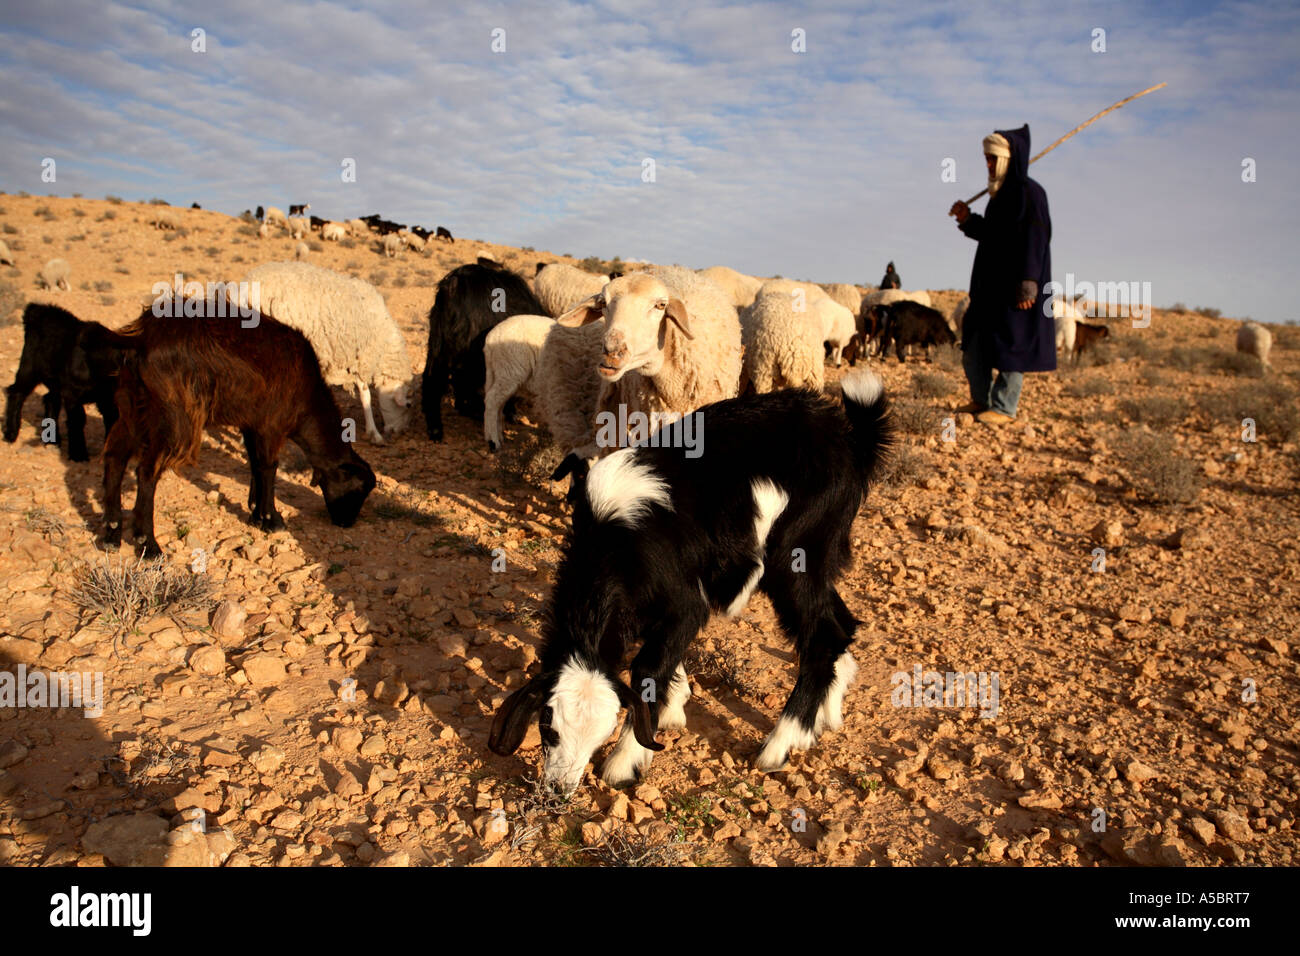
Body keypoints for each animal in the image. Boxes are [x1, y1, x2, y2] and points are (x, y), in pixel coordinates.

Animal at [4, 303, 126, 461]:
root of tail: (36, 309)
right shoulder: (72, 393)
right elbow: (77, 418)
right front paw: (78, 454)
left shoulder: (106, 398)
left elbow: (111, 419)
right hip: (29, 367)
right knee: (17, 392)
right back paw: (11, 434)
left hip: (54, 380)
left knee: (50, 399)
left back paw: (53, 440)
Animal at [101, 303, 376, 558]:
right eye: (359, 489)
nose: (347, 523)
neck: (308, 400)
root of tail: (140, 339)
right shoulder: (271, 426)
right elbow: (269, 467)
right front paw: (272, 519)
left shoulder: (252, 425)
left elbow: (255, 464)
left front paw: (256, 514)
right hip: (172, 418)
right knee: (147, 472)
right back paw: (148, 544)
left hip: (131, 408)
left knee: (115, 458)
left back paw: (111, 534)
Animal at [238, 262, 414, 444]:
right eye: (408, 405)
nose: (401, 432)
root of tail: (248, 286)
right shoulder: (361, 357)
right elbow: (366, 395)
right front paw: (375, 434)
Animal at [482, 314, 557, 451]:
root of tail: (490, 338)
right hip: (509, 370)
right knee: (492, 400)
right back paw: (493, 442)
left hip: (499, 372)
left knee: (499, 402)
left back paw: (498, 436)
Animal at [488, 369, 893, 791]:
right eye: (548, 728)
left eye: (603, 734)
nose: (558, 788)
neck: (613, 537)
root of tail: (850, 438)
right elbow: (663, 658)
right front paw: (674, 705)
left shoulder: (683, 603)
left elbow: (649, 670)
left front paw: (625, 762)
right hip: (817, 557)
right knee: (838, 623)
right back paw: (825, 713)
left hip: (797, 554)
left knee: (821, 634)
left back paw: (780, 744)